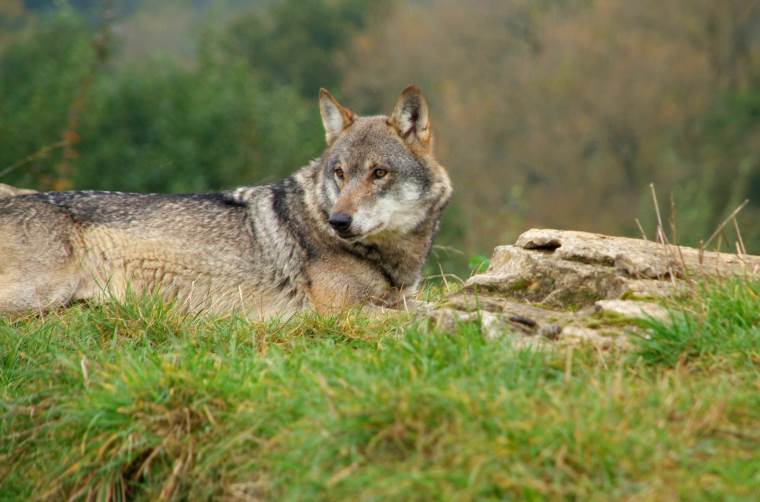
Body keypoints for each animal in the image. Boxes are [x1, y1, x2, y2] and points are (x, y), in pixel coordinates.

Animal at [0, 86, 452, 318]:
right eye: (340, 173)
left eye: (379, 173)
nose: (339, 220)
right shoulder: (343, 312)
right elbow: (429, 316)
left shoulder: (399, 297)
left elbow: (429, 305)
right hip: (41, 294)